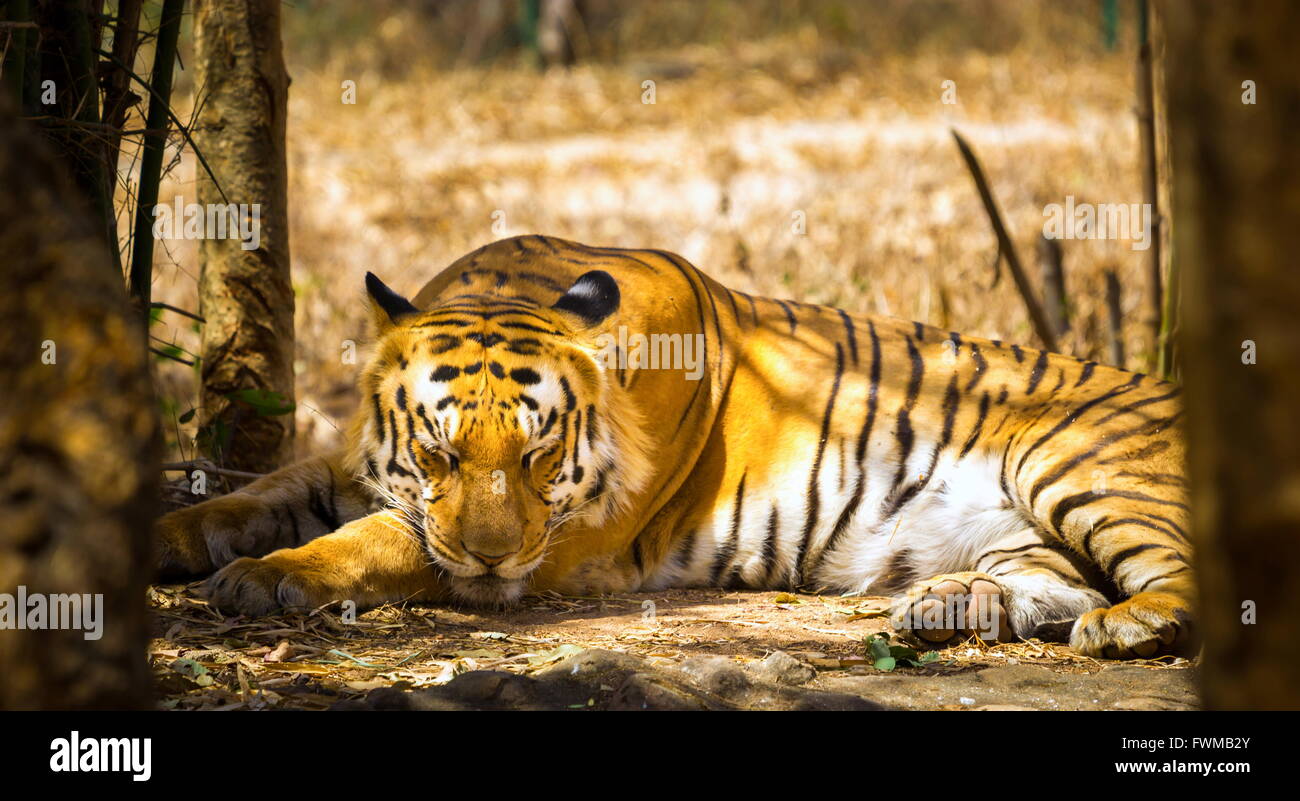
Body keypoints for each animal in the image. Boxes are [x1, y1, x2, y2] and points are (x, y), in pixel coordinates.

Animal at [155, 234, 1194, 659]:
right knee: (1063, 583)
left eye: (538, 459)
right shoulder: (350, 467)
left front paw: (265, 577)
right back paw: (947, 604)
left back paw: (1130, 625)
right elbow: (255, 494)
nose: (490, 559)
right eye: (442, 455)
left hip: (1072, 460)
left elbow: (381, 541)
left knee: (1170, 580)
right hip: (1019, 527)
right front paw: (171, 533)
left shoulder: (550, 548)